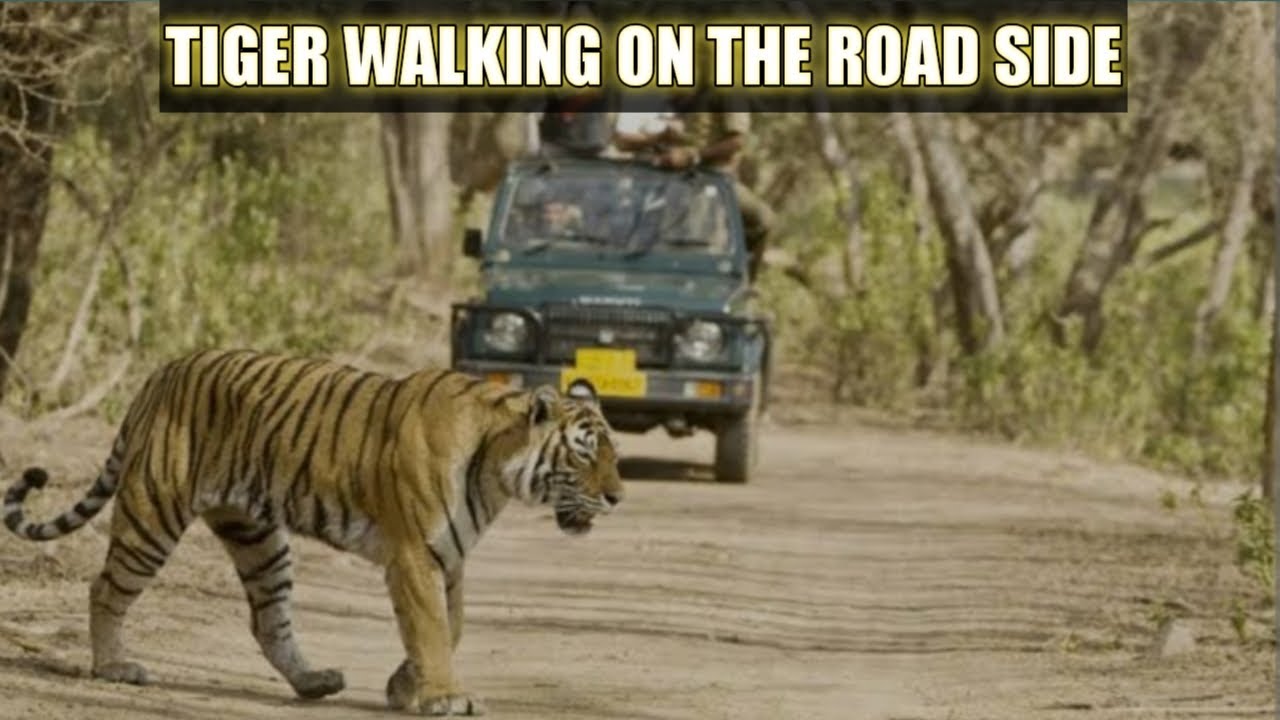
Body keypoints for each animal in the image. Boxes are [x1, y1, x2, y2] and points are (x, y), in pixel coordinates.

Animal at [2, 348, 624, 715]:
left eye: (613, 453)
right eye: (585, 454)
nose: (619, 496)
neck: (497, 469)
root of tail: (163, 370)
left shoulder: (449, 557)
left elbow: (452, 627)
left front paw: (405, 686)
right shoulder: (415, 554)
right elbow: (431, 628)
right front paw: (444, 696)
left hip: (258, 537)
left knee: (267, 620)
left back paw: (313, 681)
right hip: (154, 514)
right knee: (105, 588)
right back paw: (115, 667)